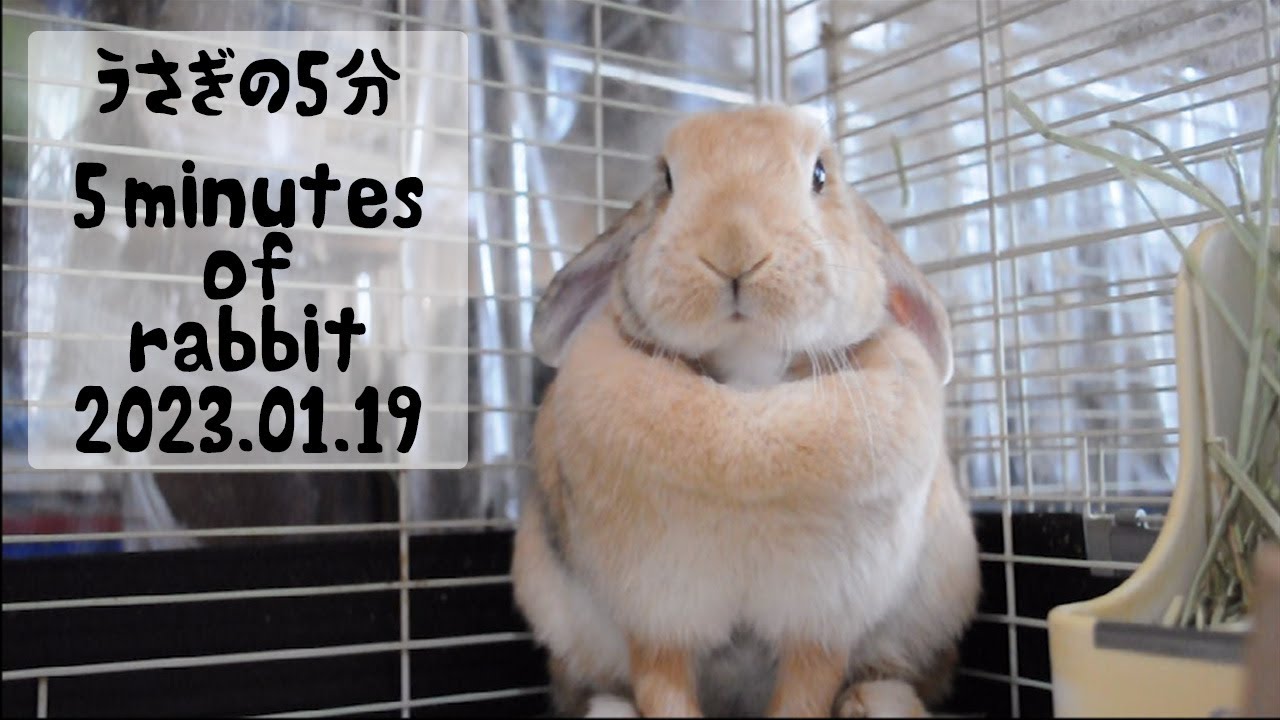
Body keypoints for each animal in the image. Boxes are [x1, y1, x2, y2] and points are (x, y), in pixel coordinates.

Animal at [512, 105, 980, 718]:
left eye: (821, 175)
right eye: (666, 180)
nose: (734, 249)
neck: (748, 390)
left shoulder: (822, 622)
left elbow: (804, 697)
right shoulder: (657, 618)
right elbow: (664, 694)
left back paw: (870, 701)